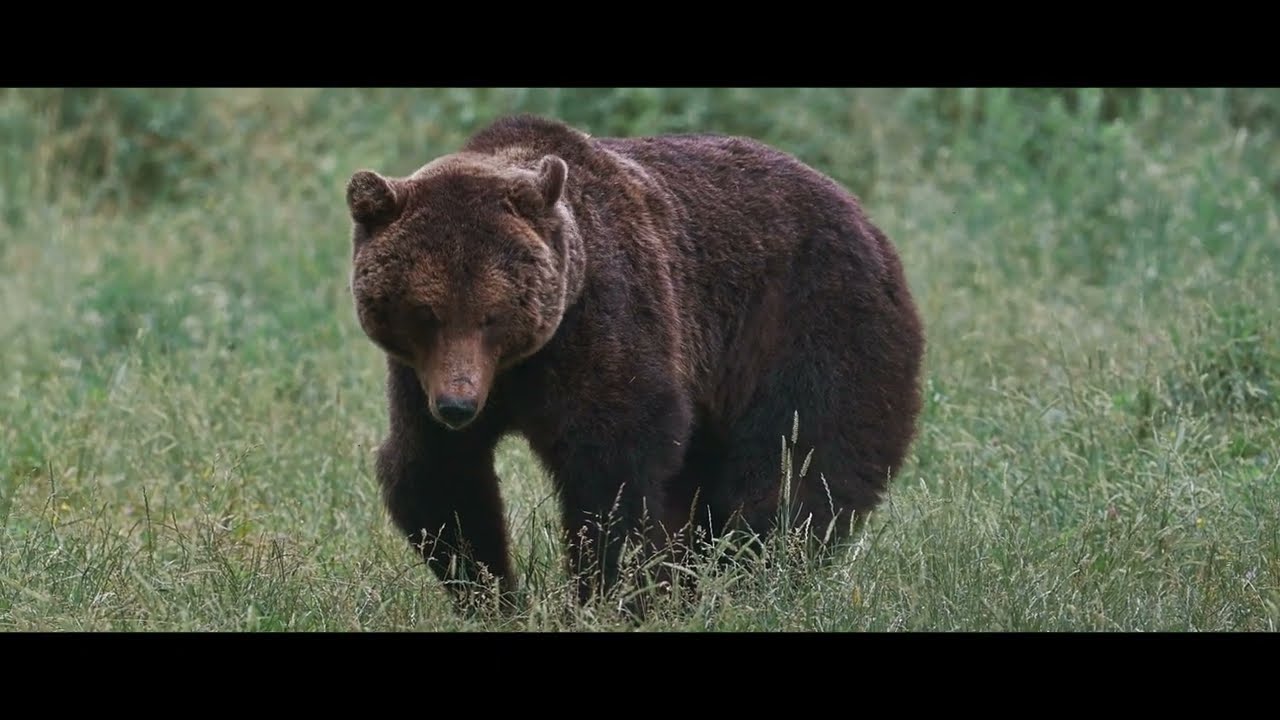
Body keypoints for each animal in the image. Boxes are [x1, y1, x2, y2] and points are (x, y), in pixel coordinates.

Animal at [345, 114, 925, 617]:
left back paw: (747, 576)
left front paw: (605, 595)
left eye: (493, 313)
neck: (521, 364)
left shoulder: (603, 323)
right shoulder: (423, 378)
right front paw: (493, 596)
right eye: (425, 312)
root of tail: (864, 215)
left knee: (798, 466)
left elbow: (613, 465)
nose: (458, 405)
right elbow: (435, 472)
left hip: (810, 323)